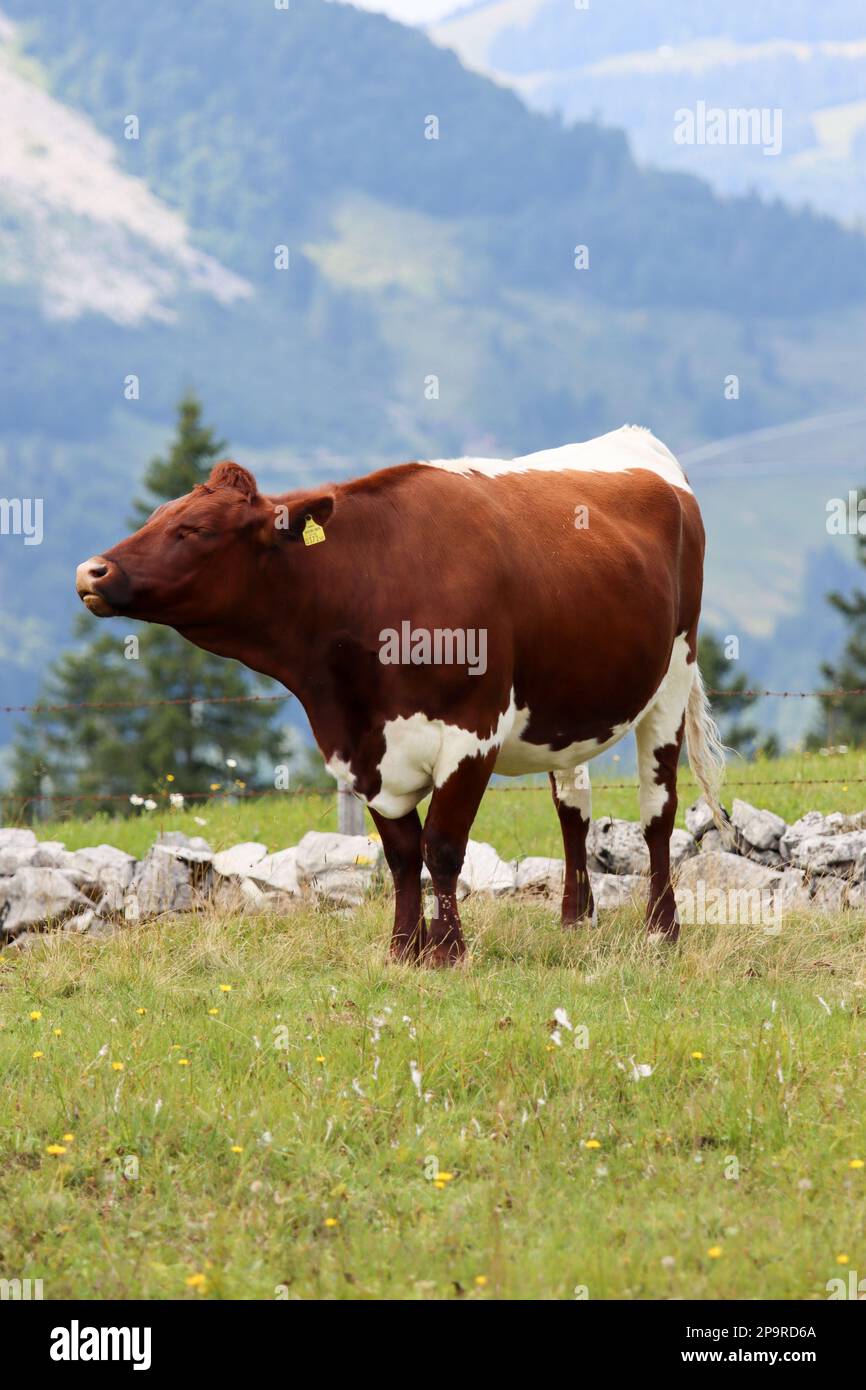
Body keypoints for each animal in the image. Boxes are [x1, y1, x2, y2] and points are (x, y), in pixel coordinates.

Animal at [76, 425, 726, 965]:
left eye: (196, 530)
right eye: (160, 513)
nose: (91, 571)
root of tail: (638, 442)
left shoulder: (472, 731)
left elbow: (442, 846)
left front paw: (448, 952)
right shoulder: (364, 750)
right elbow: (401, 853)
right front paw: (403, 950)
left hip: (673, 677)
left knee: (657, 810)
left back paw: (661, 930)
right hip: (566, 710)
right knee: (573, 806)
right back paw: (574, 920)